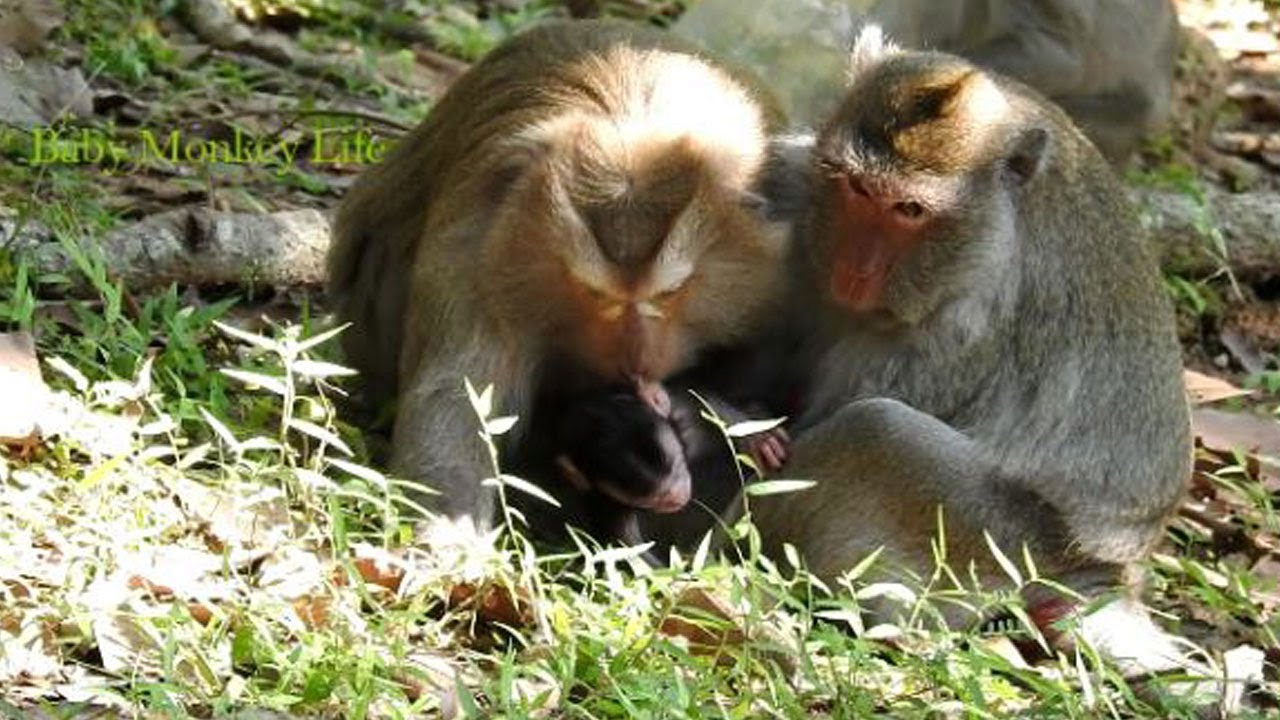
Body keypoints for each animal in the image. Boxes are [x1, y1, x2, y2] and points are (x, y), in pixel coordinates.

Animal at [742, 32, 1192, 668]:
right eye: (856, 187)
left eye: (910, 210)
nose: (855, 269)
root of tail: (1107, 577)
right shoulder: (797, 179)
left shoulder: (963, 323)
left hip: (998, 540)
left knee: (876, 428)